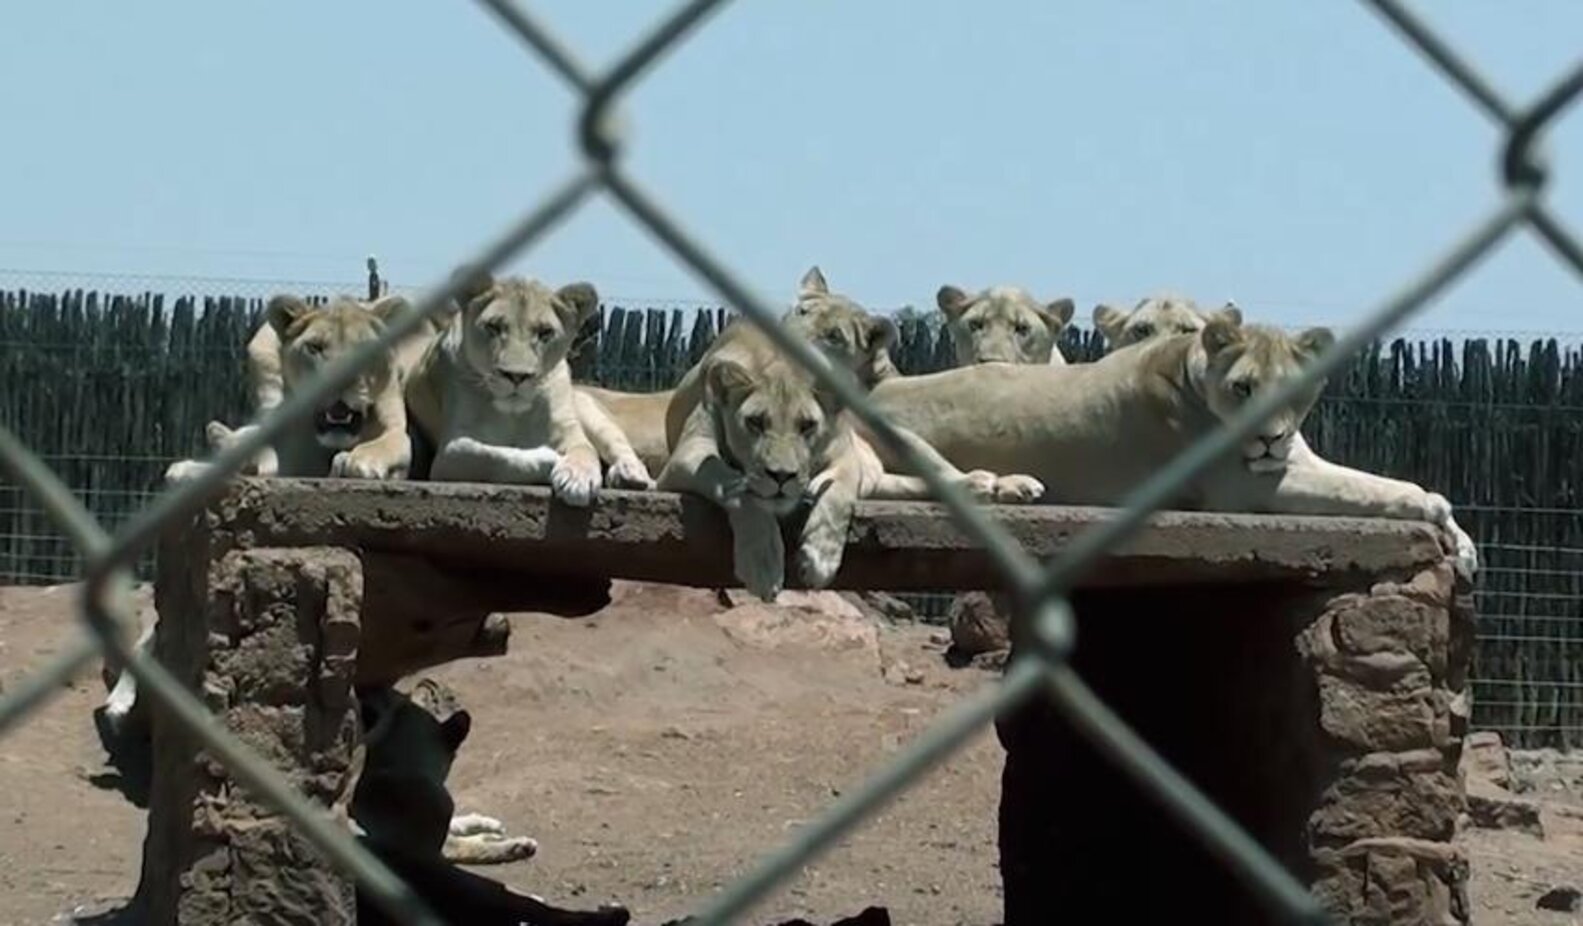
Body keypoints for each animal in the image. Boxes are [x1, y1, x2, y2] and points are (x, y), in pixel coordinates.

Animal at [404, 270, 654, 505]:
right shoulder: (451, 450)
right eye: (493, 327)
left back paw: (632, 476)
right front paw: (553, 459)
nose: (516, 376)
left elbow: (586, 451)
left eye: (545, 332)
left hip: (589, 412)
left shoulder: (570, 432)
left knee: (619, 446)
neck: (515, 413)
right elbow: (494, 456)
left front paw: (577, 478)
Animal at [867, 315, 1479, 578]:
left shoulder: (1298, 459)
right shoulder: (1246, 485)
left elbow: (1373, 482)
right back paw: (1000, 486)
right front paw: (1435, 513)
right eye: (1243, 387)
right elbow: (1380, 489)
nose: (1268, 437)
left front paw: (1466, 546)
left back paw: (1008, 486)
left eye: (1296, 390)